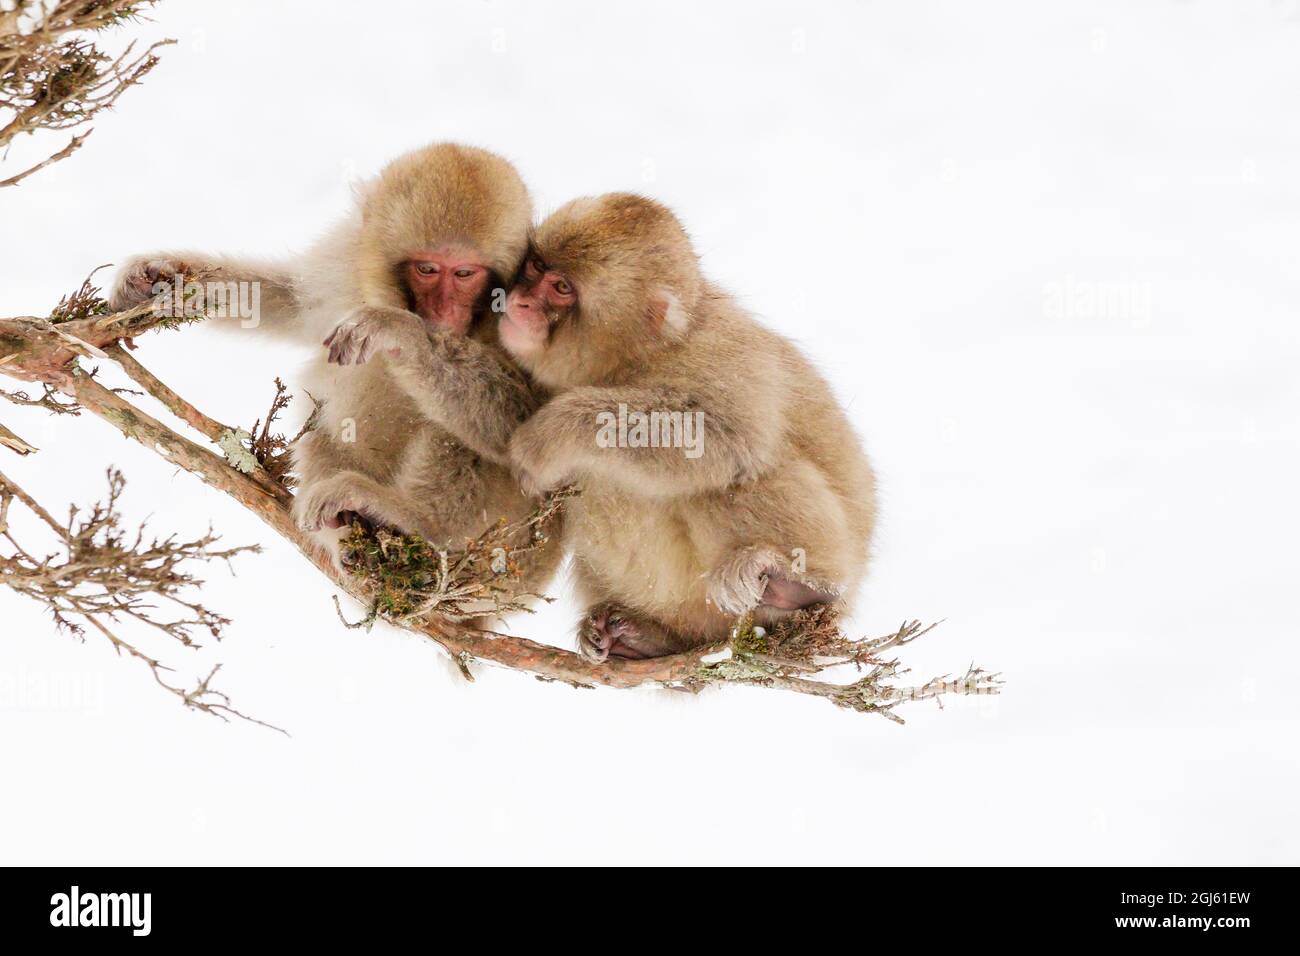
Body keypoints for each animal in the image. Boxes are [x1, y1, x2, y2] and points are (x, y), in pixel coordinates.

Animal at [107, 143, 563, 614]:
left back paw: (415, 521)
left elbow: (529, 425)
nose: (444, 311)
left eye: (465, 273)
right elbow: (289, 302)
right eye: (427, 269)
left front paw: (401, 335)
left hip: (509, 558)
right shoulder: (345, 264)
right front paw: (158, 277)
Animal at [497, 193, 877, 660]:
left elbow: (724, 434)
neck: (638, 360)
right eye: (535, 265)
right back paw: (644, 638)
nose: (519, 301)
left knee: (733, 474)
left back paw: (797, 588)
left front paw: (553, 432)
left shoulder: (716, 352)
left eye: (562, 288)